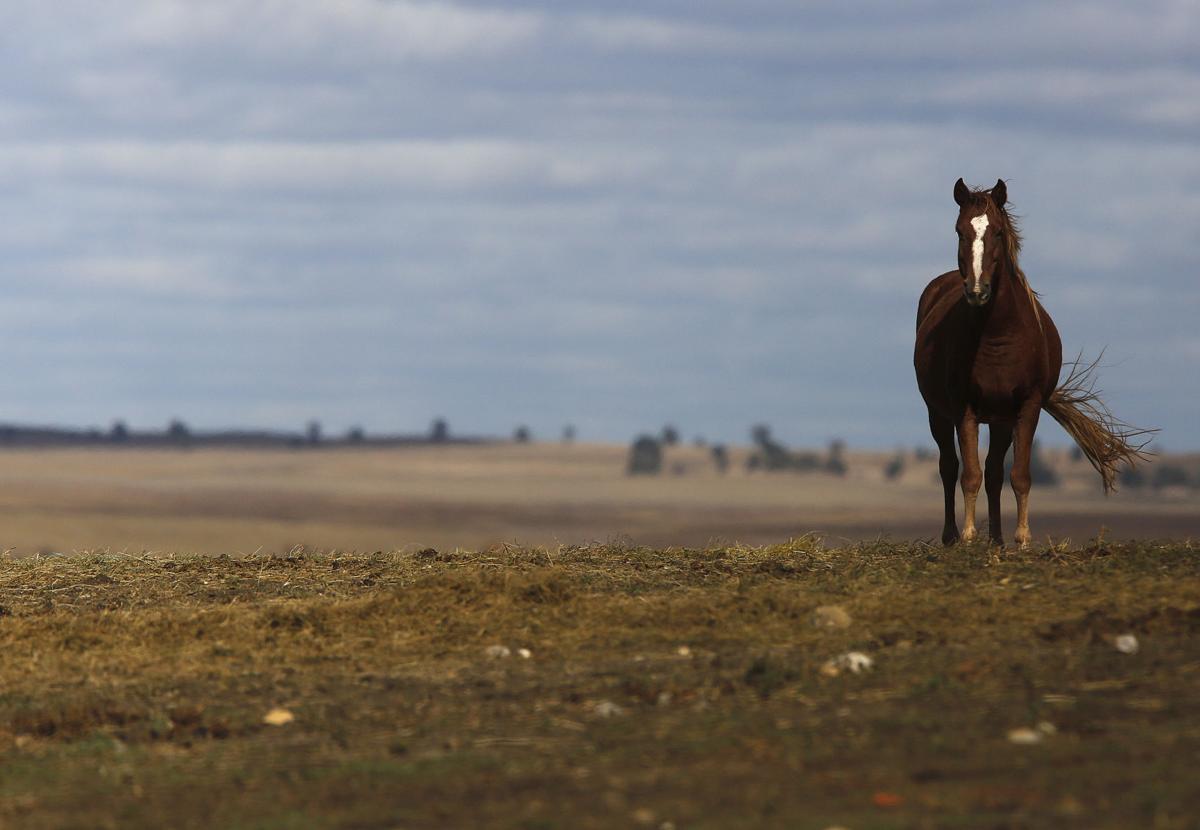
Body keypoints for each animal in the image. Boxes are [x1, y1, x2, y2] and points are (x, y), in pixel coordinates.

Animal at [914, 178, 1152, 547]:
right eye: (959, 231)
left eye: (998, 232)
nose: (977, 290)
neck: (997, 336)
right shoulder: (965, 409)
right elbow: (970, 474)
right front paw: (968, 535)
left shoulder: (1028, 406)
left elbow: (1019, 474)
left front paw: (1022, 538)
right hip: (938, 413)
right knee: (949, 466)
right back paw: (952, 535)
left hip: (1000, 420)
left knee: (994, 471)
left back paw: (996, 539)